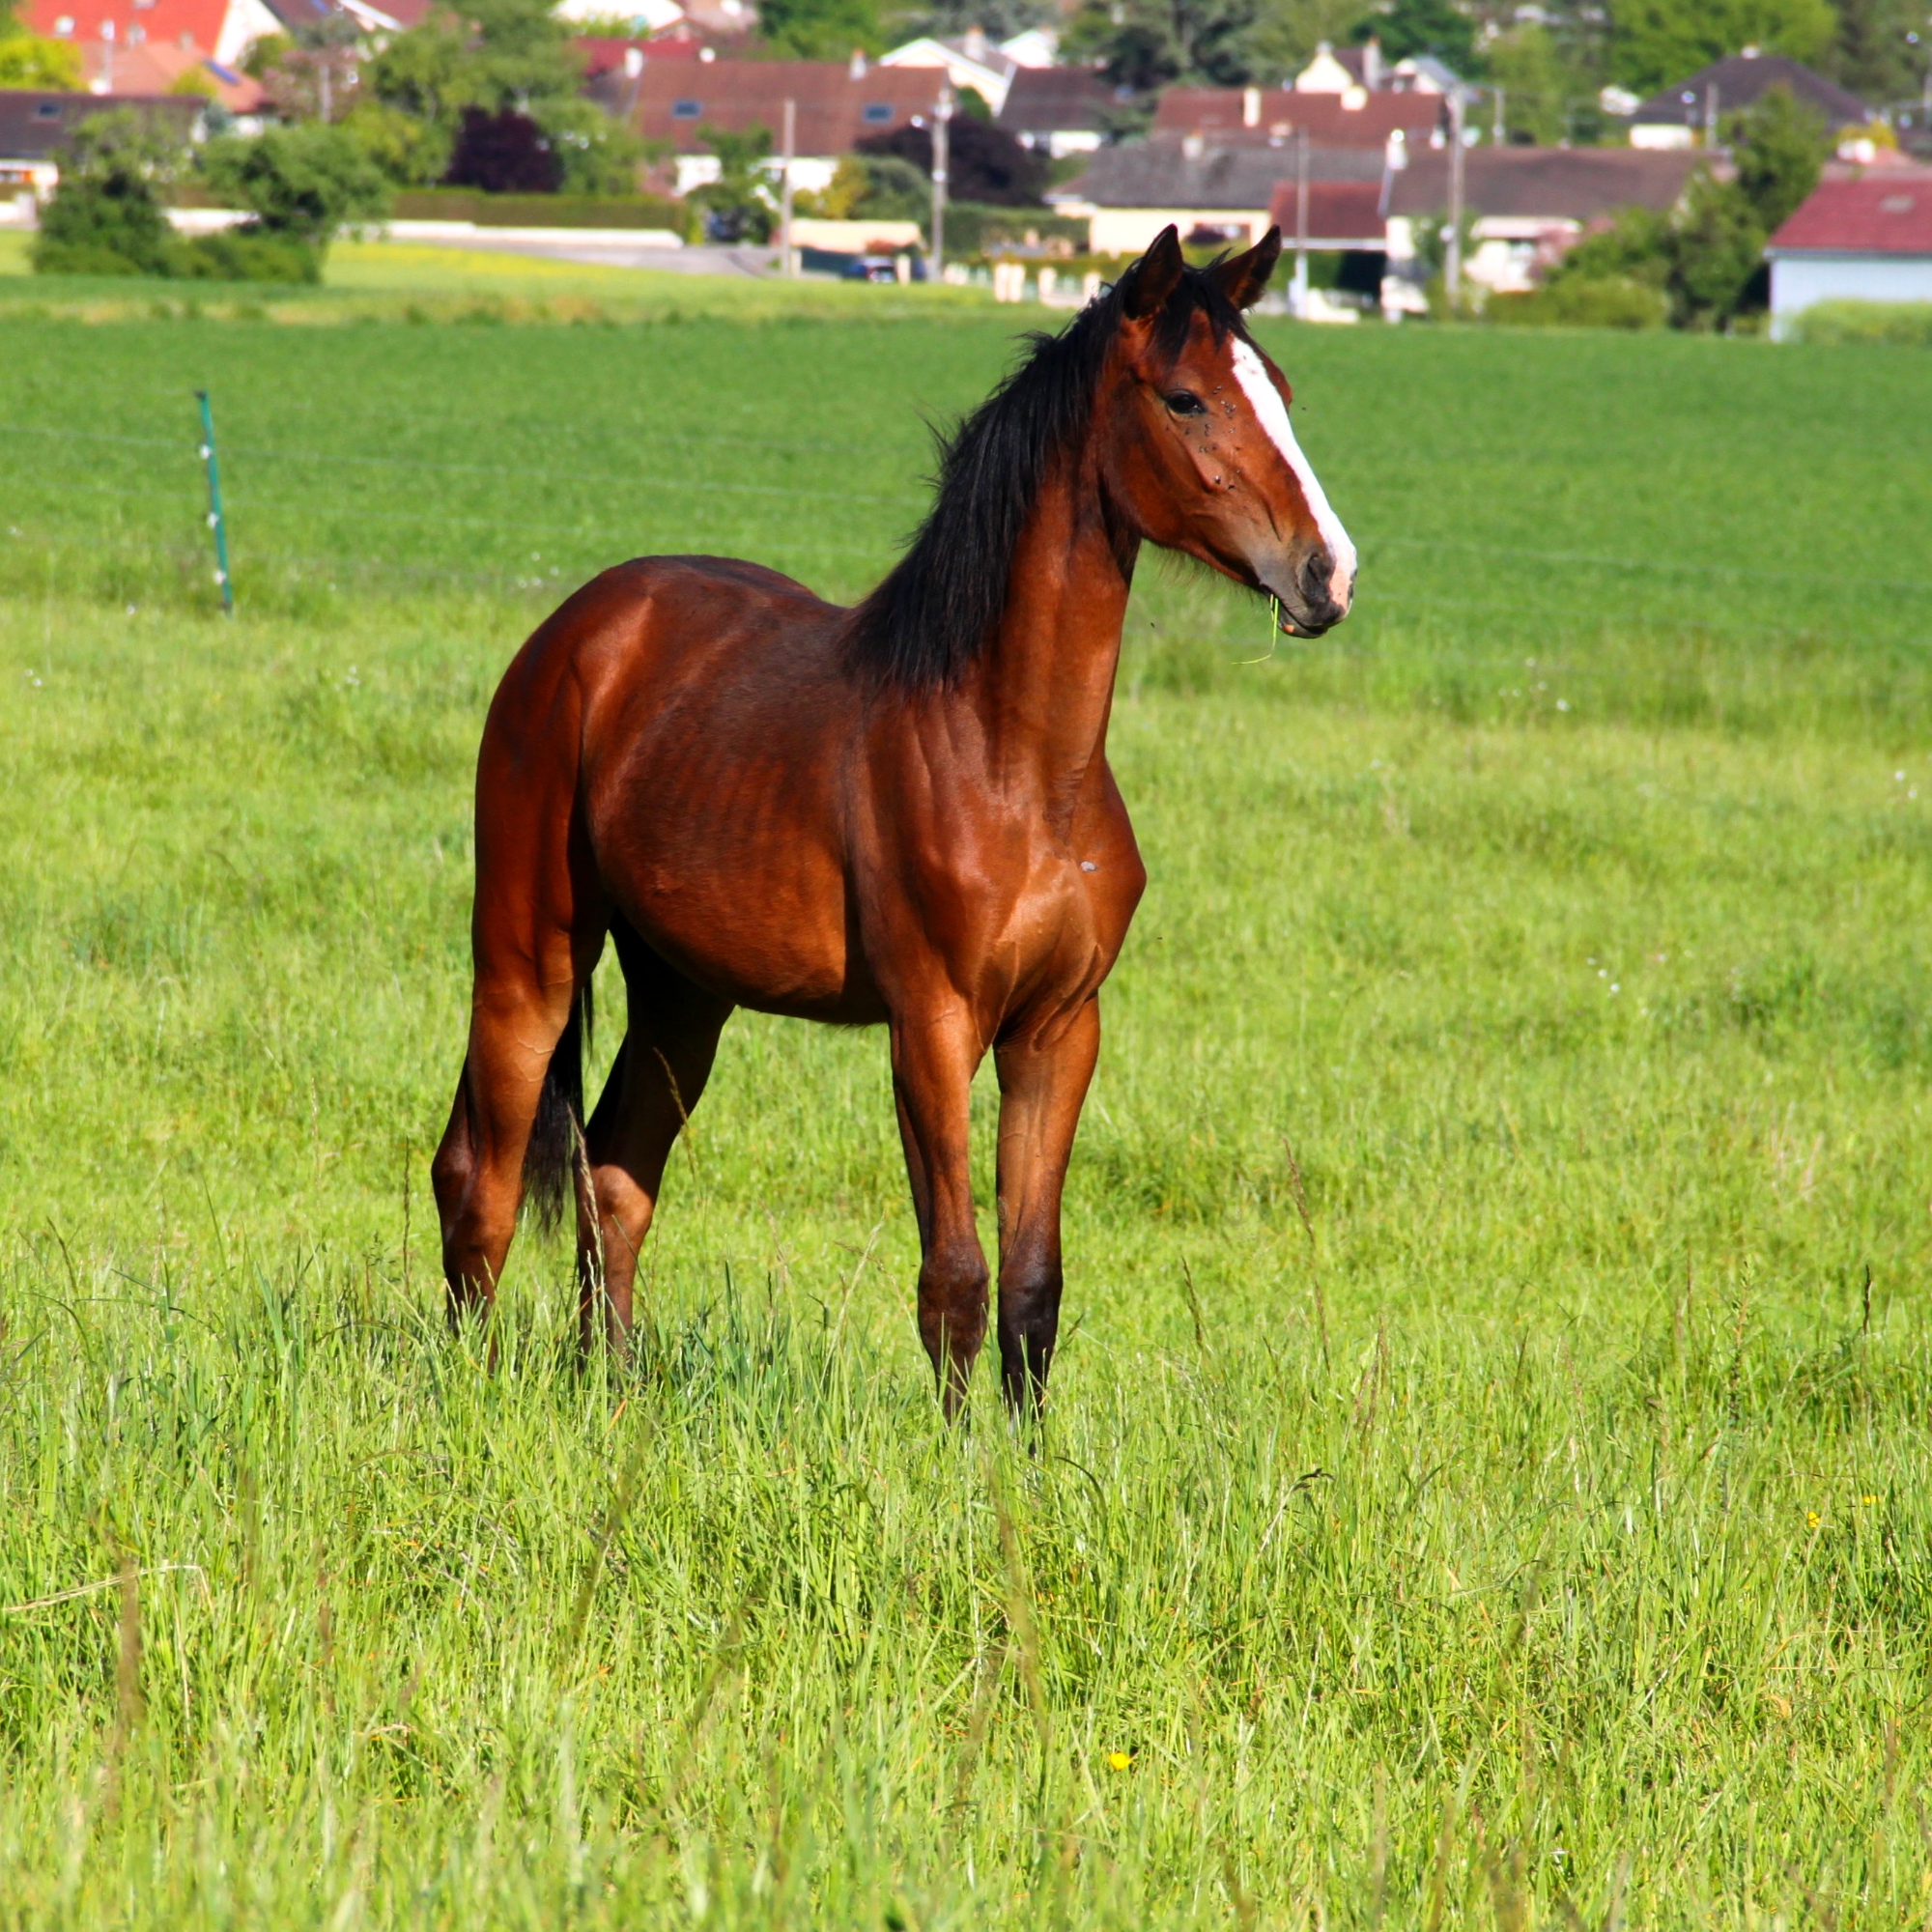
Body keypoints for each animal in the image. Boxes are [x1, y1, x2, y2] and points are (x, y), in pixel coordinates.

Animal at [430, 223, 1356, 1416]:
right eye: (1188, 397)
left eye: (1278, 388)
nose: (1328, 573)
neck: (1015, 762)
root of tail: (575, 629)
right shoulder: (932, 1025)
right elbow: (954, 1276)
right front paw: (959, 1457)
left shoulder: (1058, 1030)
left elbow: (1034, 1286)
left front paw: (1026, 1451)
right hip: (528, 957)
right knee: (481, 1180)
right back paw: (469, 1392)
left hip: (684, 992)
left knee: (613, 1175)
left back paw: (613, 1390)